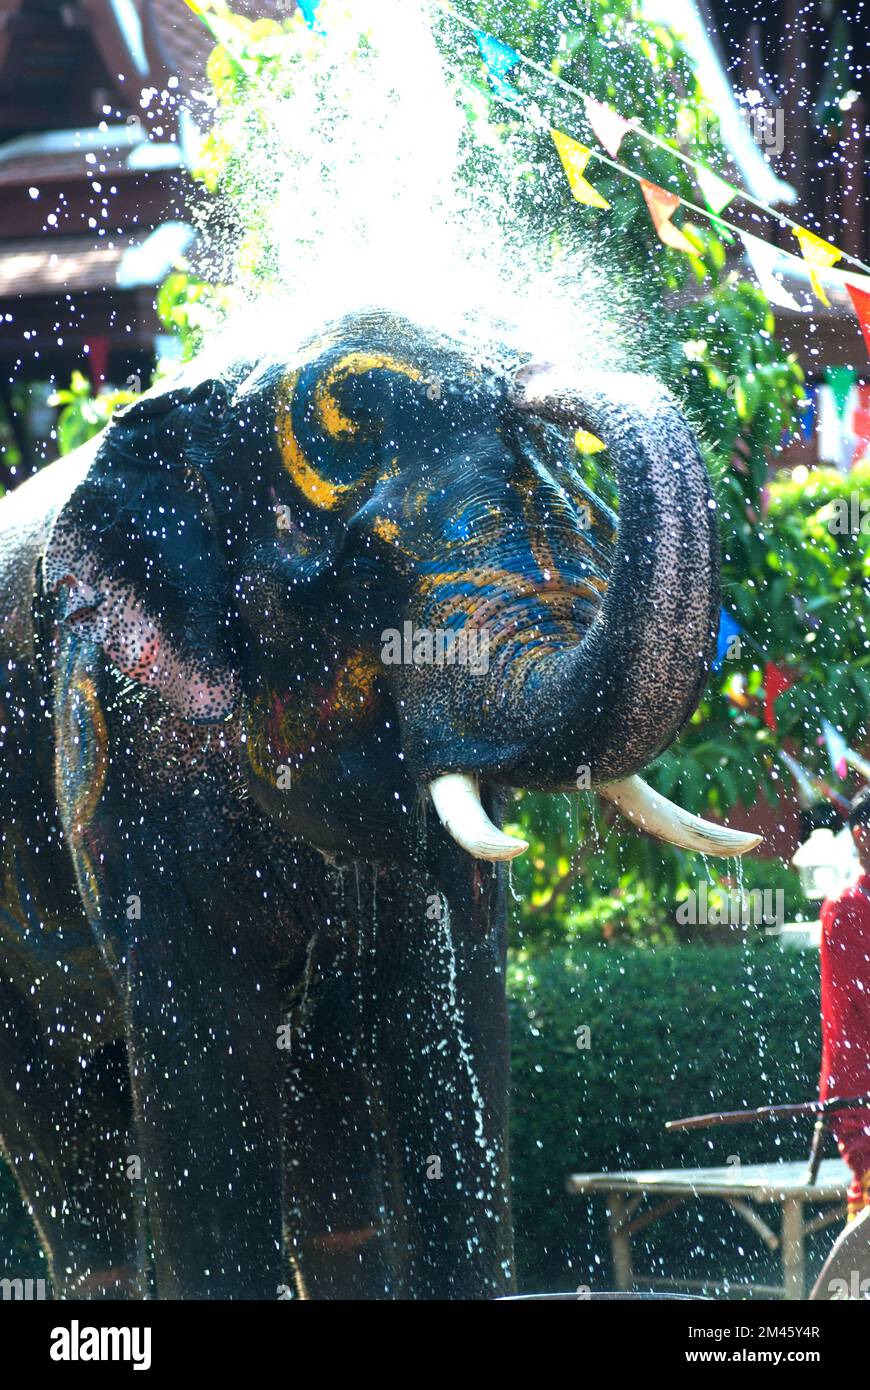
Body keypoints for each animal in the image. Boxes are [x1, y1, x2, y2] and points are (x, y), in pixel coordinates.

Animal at [0, 308, 759, 1300]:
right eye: (363, 571)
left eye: (581, 513)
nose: (524, 380)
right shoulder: (116, 747)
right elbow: (202, 1059)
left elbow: (451, 1019)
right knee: (63, 1144)